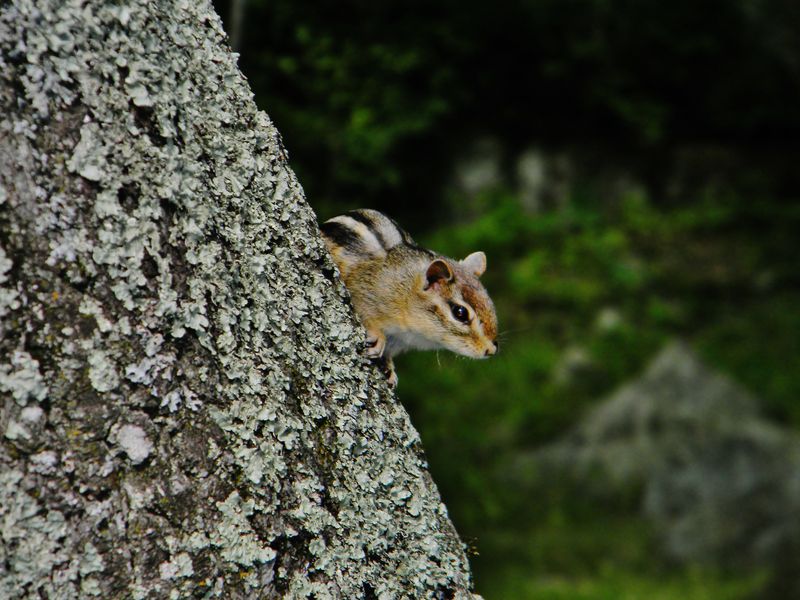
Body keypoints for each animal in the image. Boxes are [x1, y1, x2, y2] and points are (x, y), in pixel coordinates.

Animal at [321, 209, 498, 387]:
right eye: (460, 313)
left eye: (490, 304)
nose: (492, 350)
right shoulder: (362, 288)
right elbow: (365, 311)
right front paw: (377, 335)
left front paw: (390, 368)